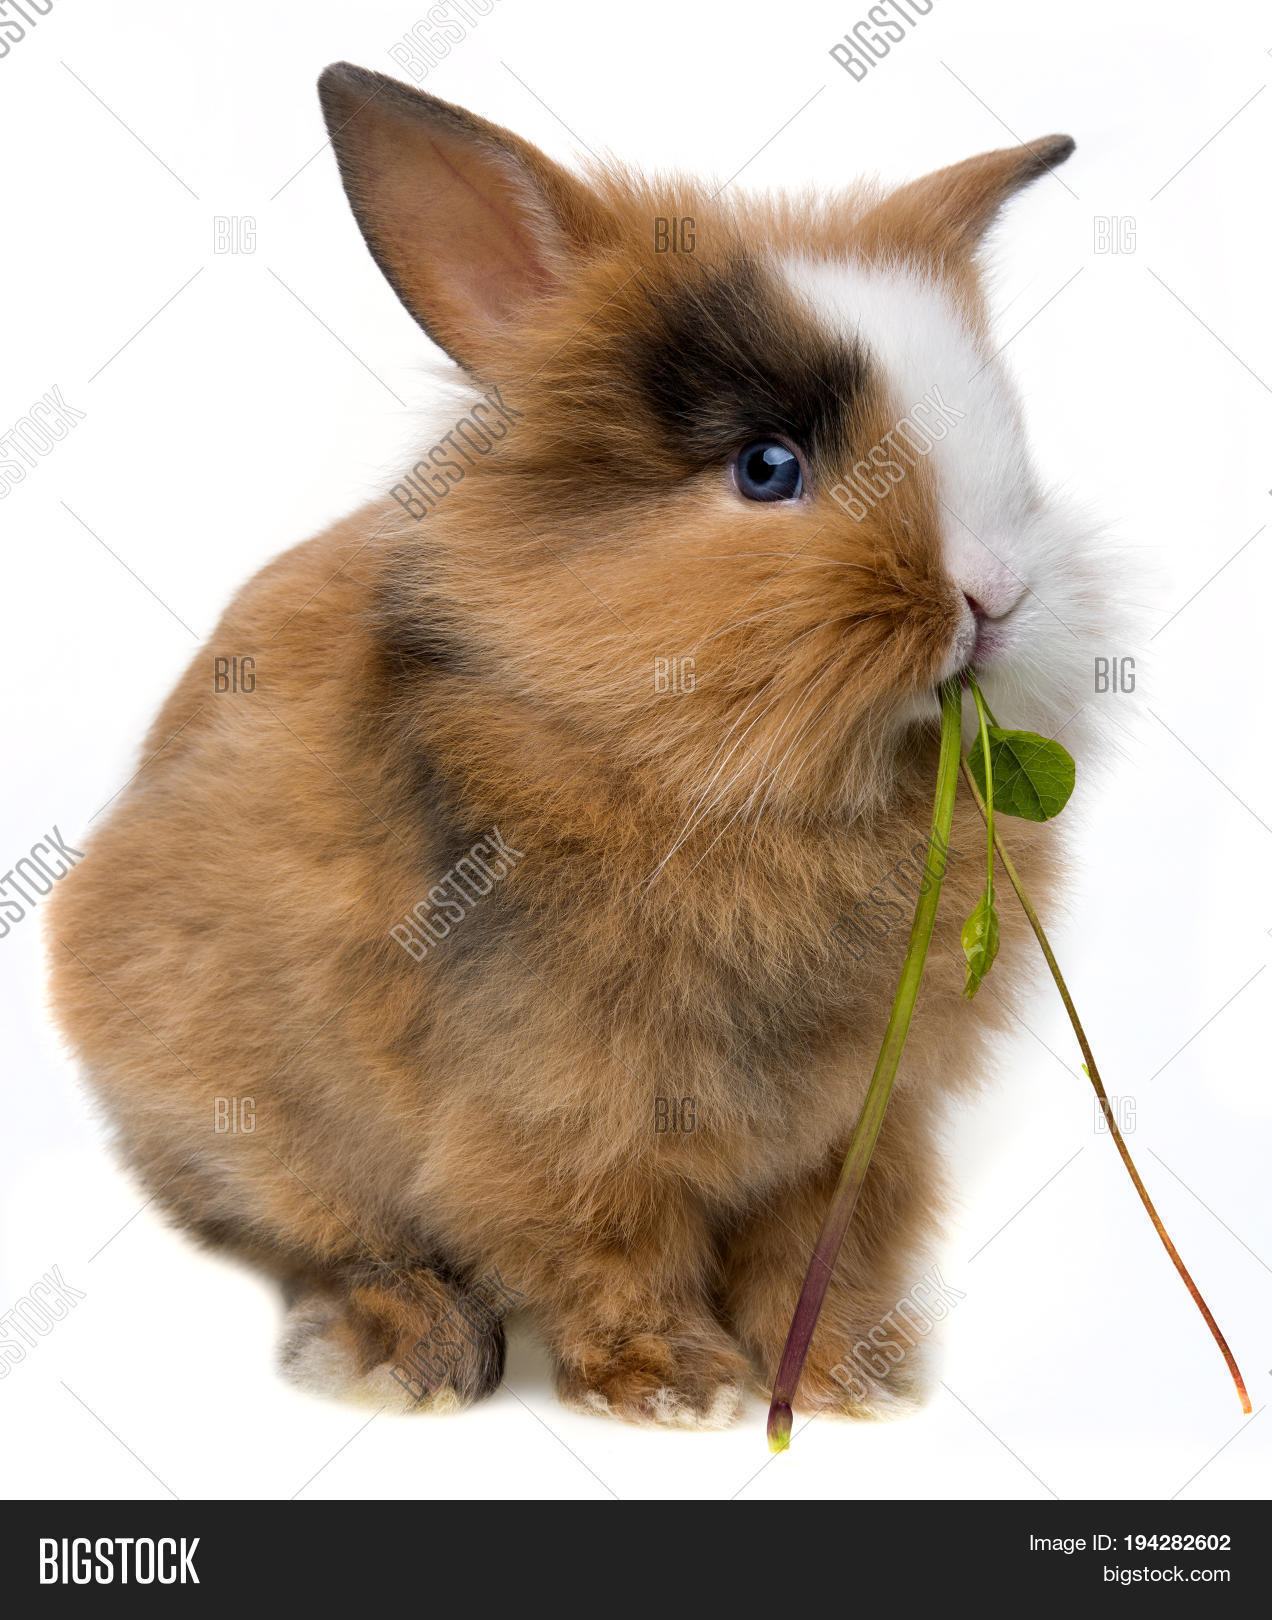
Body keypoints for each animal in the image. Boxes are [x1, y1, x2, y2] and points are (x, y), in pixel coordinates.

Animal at [48, 62, 1102, 1429]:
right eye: (769, 467)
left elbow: (819, 1250)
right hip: (243, 1111)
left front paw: (847, 1379)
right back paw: (412, 1348)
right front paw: (678, 1388)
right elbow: (607, 1245)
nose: (996, 595)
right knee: (314, 1240)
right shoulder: (566, 1111)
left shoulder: (860, 1127)